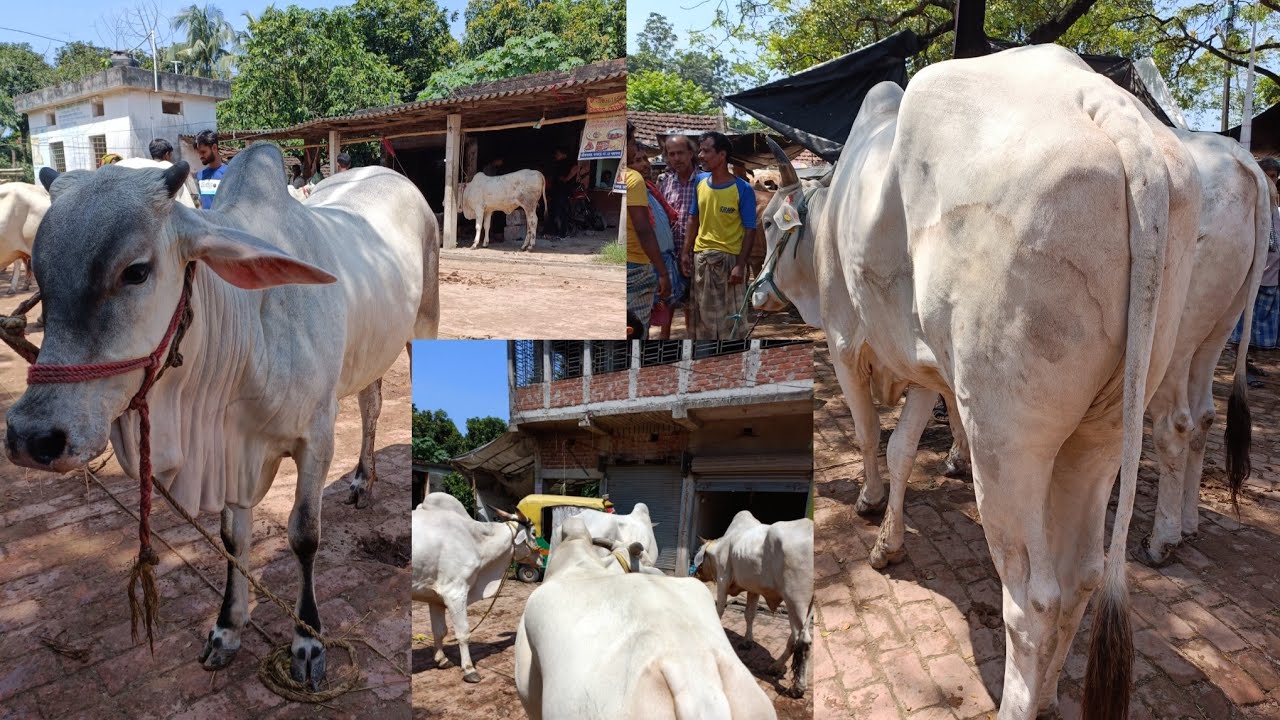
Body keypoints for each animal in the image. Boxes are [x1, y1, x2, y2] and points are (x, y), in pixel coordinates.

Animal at [4, 142, 440, 691]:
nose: (31, 436)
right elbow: (233, 539)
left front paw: (307, 640)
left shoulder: (316, 437)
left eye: (136, 271)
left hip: (423, 323)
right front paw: (228, 627)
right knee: (371, 401)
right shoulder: (234, 450)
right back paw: (362, 478)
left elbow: (304, 535)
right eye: (42, 277)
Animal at [412, 492, 537, 683]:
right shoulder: (455, 592)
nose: (541, 558)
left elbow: (439, 631)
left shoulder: (435, 598)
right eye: (535, 533)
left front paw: (442, 660)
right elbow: (463, 633)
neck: (475, 540)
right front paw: (469, 669)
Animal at [692, 511, 814, 698]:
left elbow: (719, 609)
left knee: (803, 641)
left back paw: (798, 687)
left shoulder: (722, 580)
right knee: (795, 639)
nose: (696, 574)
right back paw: (775, 666)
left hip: (795, 600)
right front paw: (747, 641)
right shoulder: (753, 589)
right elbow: (749, 614)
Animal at [752, 45, 1206, 718]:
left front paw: (869, 500)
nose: (756, 295)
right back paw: (1047, 694)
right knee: (1082, 577)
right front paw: (889, 542)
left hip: (1006, 437)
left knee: (1034, 600)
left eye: (766, 225)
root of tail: (1104, 104)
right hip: (1100, 432)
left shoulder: (844, 344)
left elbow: (868, 436)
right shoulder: (922, 364)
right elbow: (902, 448)